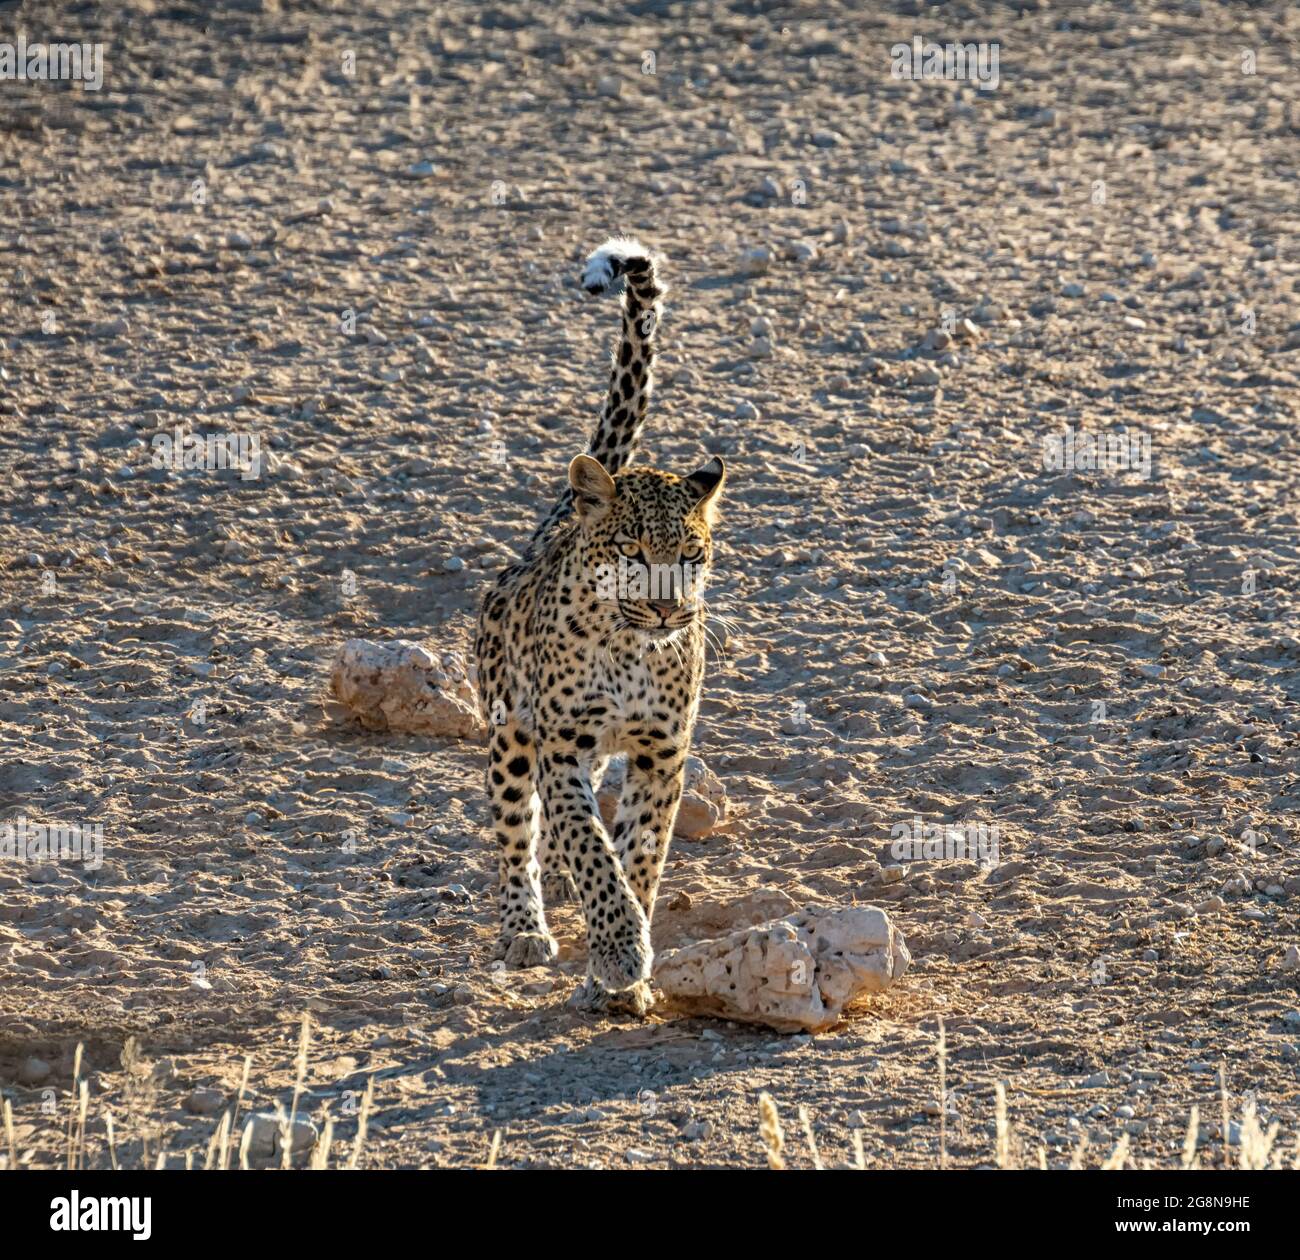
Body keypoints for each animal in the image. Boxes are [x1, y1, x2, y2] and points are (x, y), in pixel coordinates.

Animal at [474, 236, 725, 1015]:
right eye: (632, 553)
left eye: (692, 555)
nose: (670, 609)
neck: (633, 649)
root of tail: (550, 532)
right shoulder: (558, 745)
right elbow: (591, 846)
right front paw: (618, 951)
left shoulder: (662, 752)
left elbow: (640, 851)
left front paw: (622, 973)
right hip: (510, 735)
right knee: (515, 835)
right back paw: (524, 927)